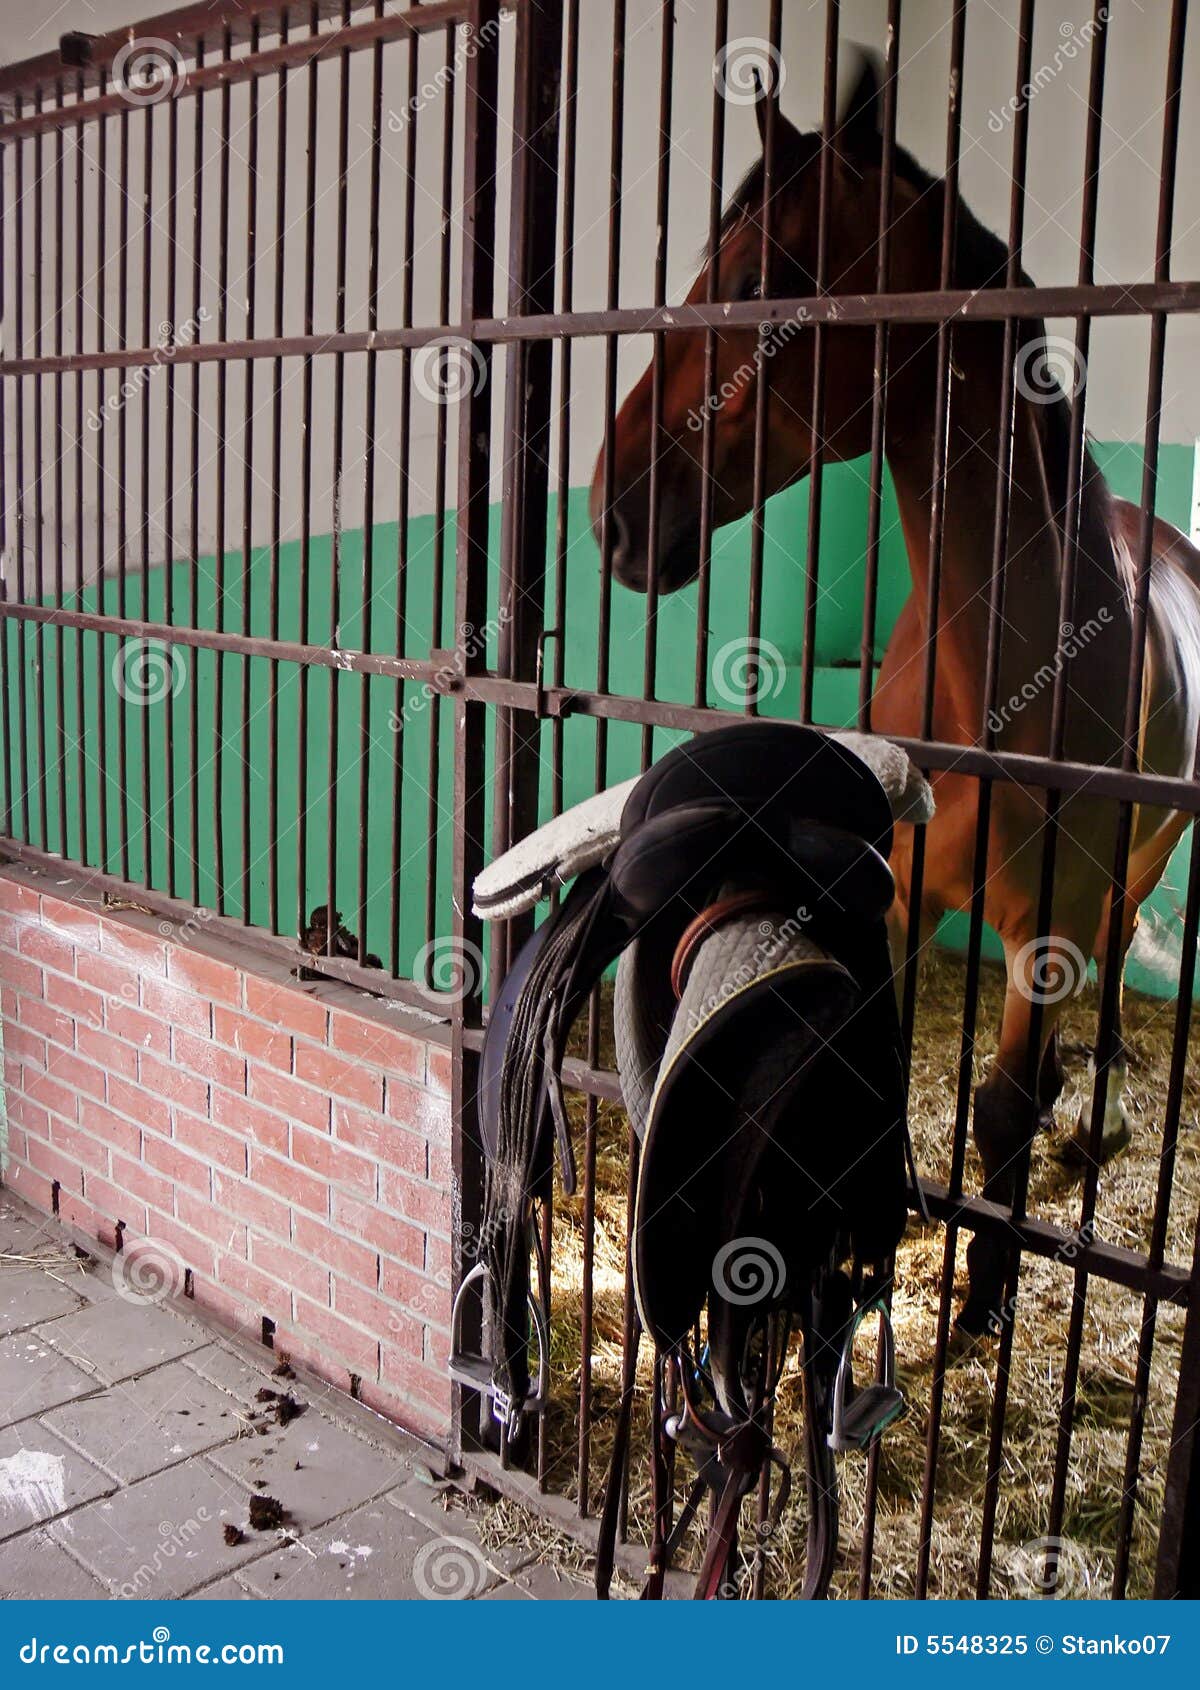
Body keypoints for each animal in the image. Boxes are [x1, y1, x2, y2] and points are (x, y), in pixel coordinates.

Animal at [588, 54, 1200, 1335]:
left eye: (762, 282)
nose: (615, 510)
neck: (997, 687)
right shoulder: (895, 890)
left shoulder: (1044, 932)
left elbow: (1003, 1109)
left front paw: (984, 1301)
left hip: (1144, 864)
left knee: (1117, 959)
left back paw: (1102, 1108)